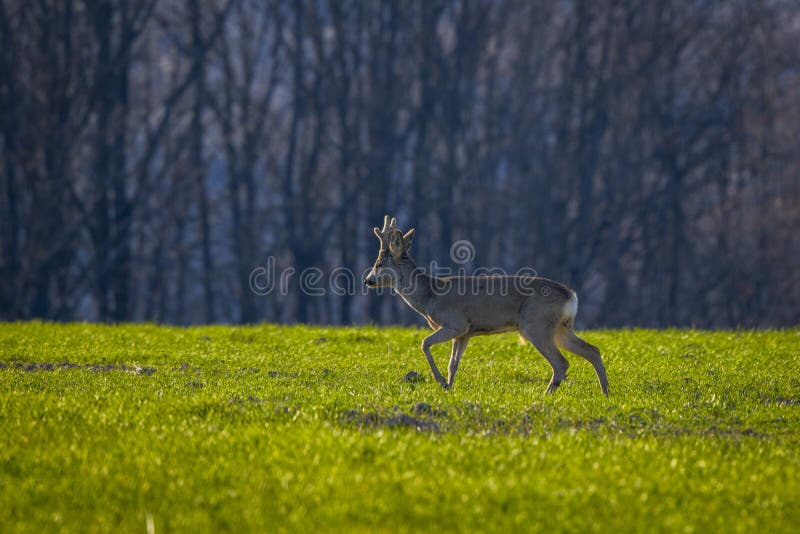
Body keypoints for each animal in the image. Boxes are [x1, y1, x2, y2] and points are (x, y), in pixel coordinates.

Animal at [364, 215, 609, 395]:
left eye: (378, 263)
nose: (367, 280)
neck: (429, 296)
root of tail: (571, 295)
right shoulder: (464, 333)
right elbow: (453, 363)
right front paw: (449, 387)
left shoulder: (455, 323)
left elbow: (424, 343)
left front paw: (441, 381)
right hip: (560, 328)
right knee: (593, 350)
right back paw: (605, 392)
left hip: (536, 325)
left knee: (561, 363)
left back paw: (546, 394)